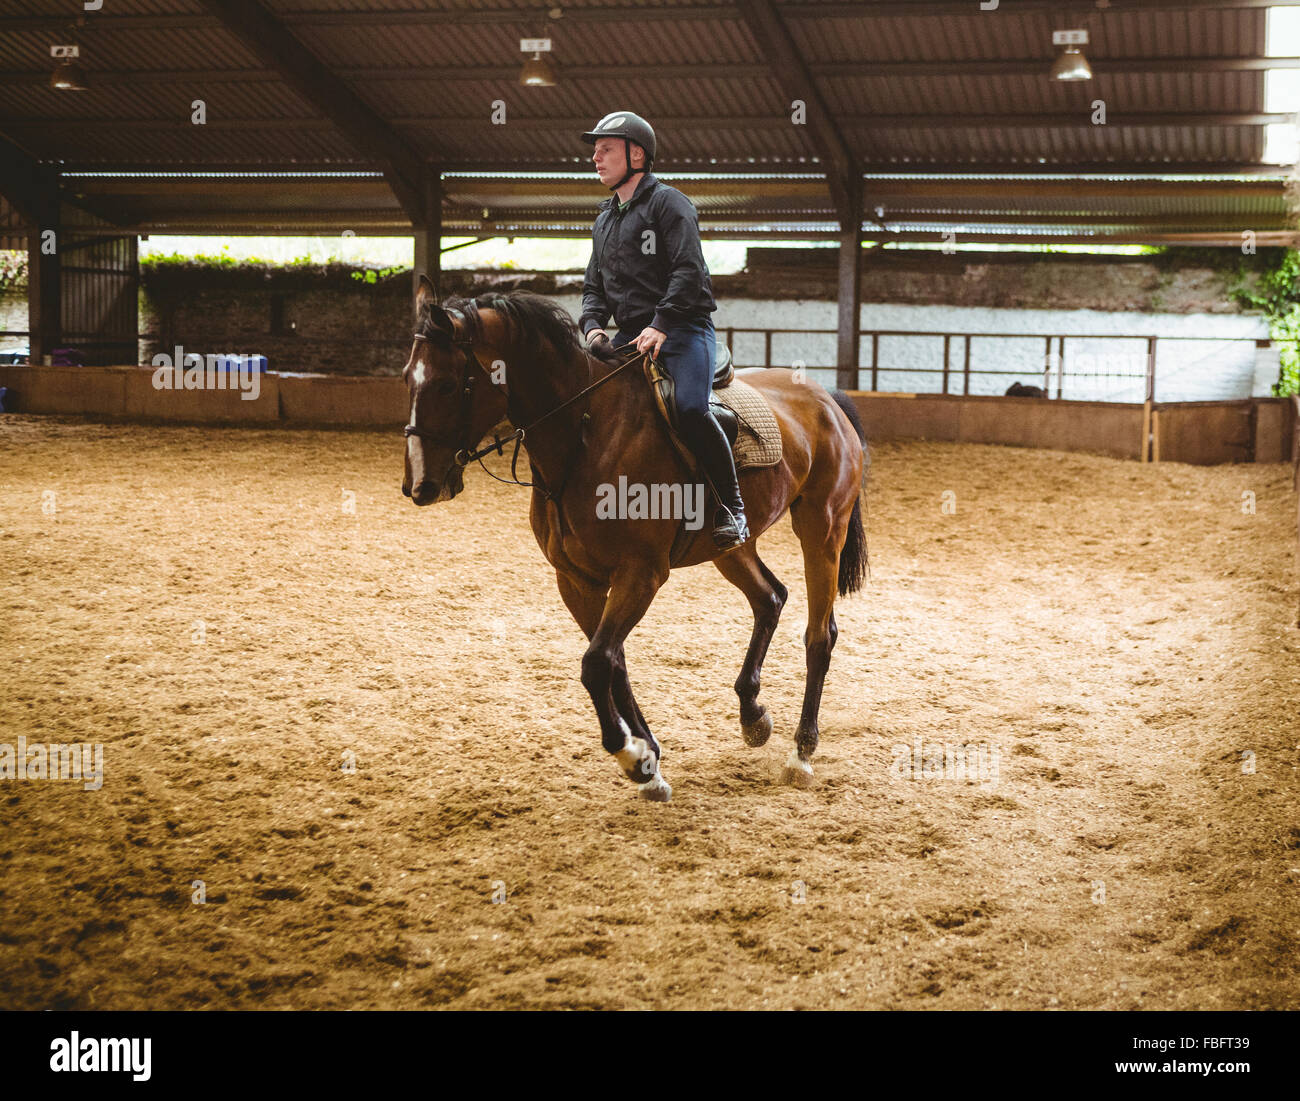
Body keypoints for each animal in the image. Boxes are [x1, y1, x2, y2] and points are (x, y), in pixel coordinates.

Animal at [401, 275, 868, 802]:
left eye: (446, 384)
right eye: (407, 378)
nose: (419, 485)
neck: (586, 434)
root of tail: (827, 399)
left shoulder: (640, 575)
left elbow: (596, 663)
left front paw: (630, 756)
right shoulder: (576, 580)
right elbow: (612, 661)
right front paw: (648, 759)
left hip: (822, 529)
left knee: (819, 635)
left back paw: (801, 752)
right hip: (730, 547)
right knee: (770, 597)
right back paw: (753, 715)